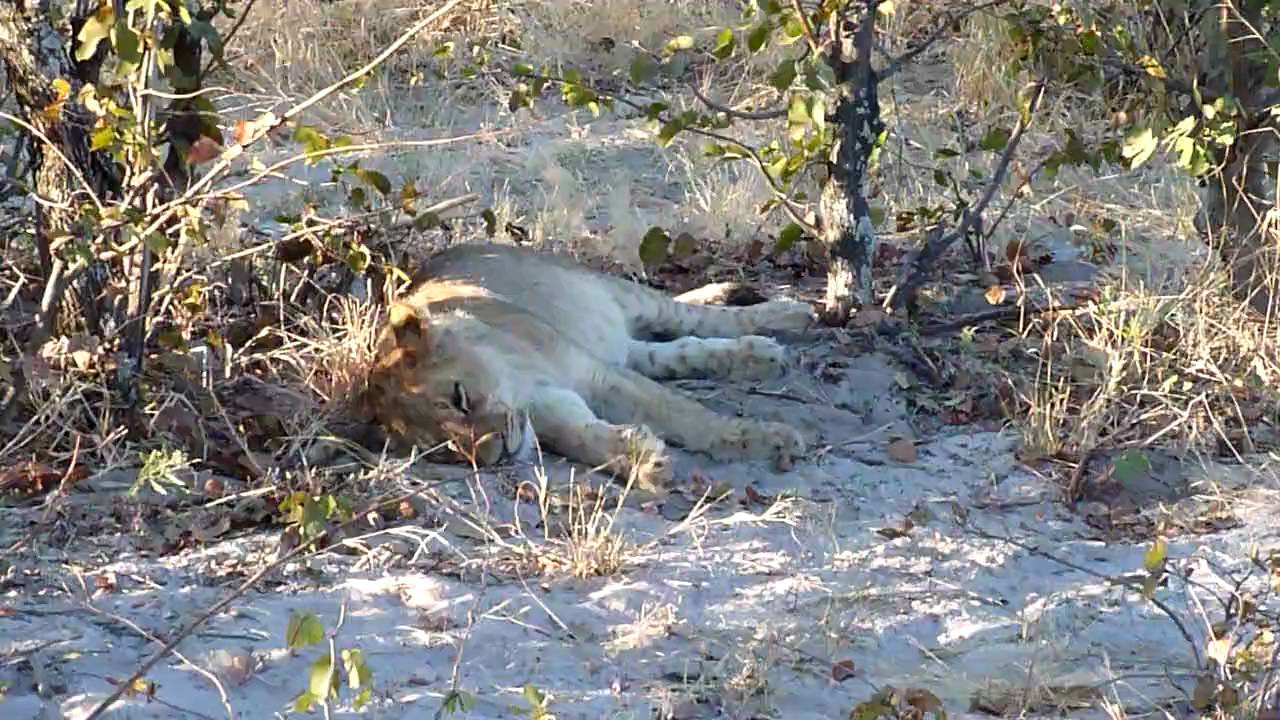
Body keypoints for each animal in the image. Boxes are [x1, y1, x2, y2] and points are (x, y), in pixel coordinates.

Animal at [364, 242, 810, 489]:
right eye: (443, 450)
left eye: (461, 399)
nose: (496, 455)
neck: (520, 386)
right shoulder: (555, 412)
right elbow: (590, 440)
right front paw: (645, 462)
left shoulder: (594, 375)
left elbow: (687, 416)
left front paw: (766, 438)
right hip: (620, 342)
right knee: (676, 351)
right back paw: (756, 356)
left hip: (620, 294)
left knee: (695, 319)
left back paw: (790, 315)